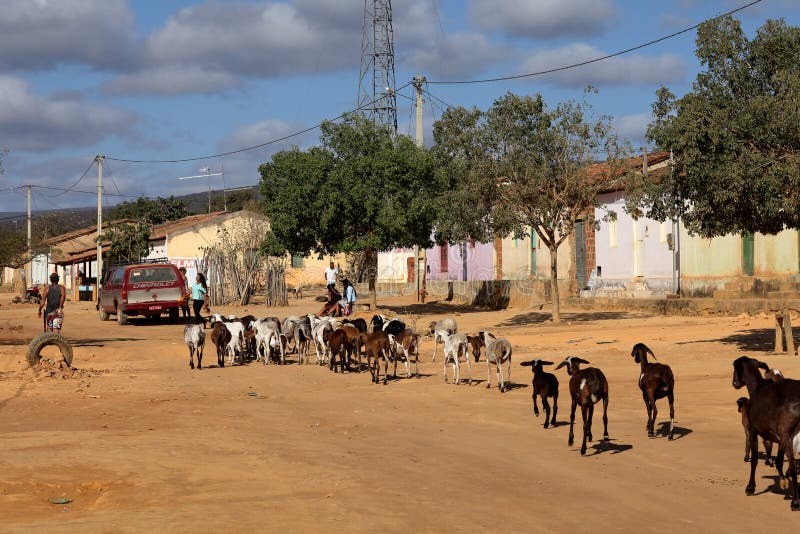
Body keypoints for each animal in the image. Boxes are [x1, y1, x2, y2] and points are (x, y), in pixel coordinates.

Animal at [732, 356, 800, 510]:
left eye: (734, 367)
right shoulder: (780, 439)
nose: (734, 383)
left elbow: (754, 460)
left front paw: (750, 488)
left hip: (787, 434)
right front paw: (783, 481)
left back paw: (795, 501)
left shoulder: (753, 431)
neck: (758, 387)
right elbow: (779, 461)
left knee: (793, 465)